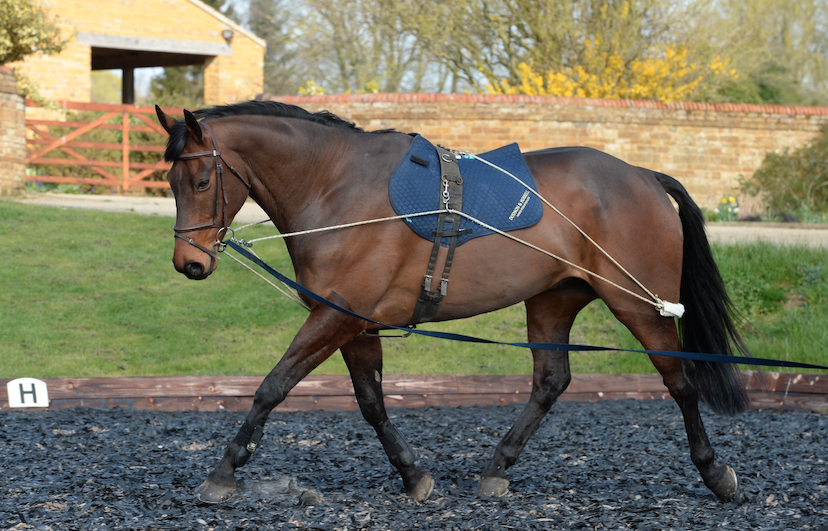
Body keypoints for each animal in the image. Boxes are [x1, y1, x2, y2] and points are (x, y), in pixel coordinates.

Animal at [155, 100, 749, 504]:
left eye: (202, 180)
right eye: (170, 181)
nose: (189, 264)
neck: (337, 187)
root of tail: (643, 176)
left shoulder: (336, 315)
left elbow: (272, 387)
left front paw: (225, 471)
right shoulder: (356, 323)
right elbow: (371, 403)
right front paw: (413, 474)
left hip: (639, 306)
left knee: (680, 383)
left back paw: (716, 473)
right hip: (553, 300)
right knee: (551, 381)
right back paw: (498, 467)